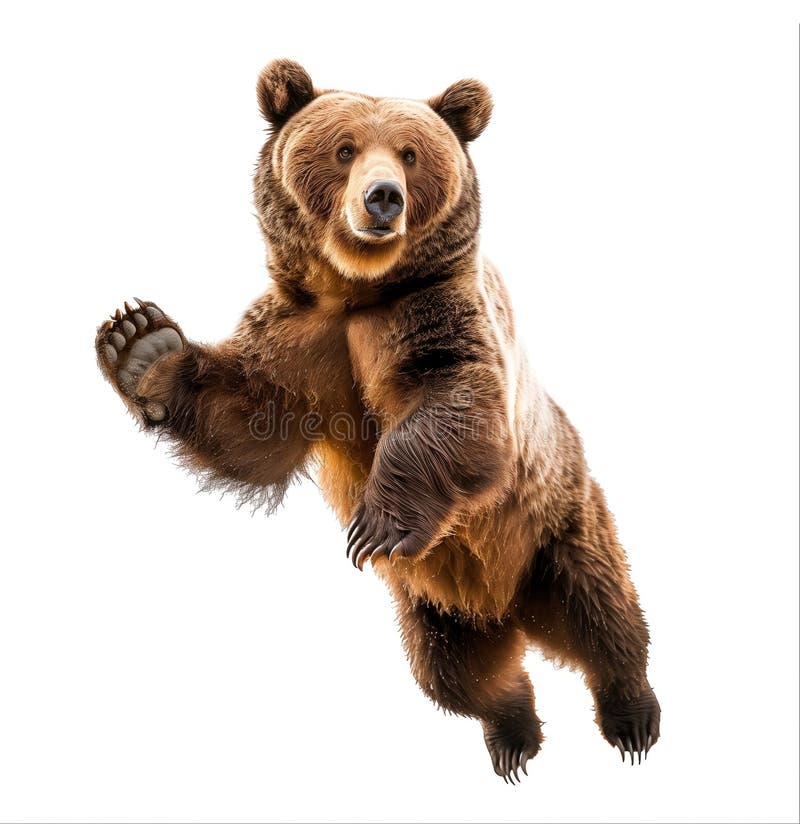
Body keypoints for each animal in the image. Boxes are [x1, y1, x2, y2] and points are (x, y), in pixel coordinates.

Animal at [95, 59, 660, 782]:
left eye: (411, 153)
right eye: (344, 149)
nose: (383, 197)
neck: (358, 291)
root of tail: (508, 604)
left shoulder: (436, 313)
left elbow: (456, 403)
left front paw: (375, 524)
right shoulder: (301, 338)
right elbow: (251, 425)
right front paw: (141, 343)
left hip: (555, 524)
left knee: (603, 614)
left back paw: (631, 716)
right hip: (431, 605)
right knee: (457, 674)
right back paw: (513, 734)